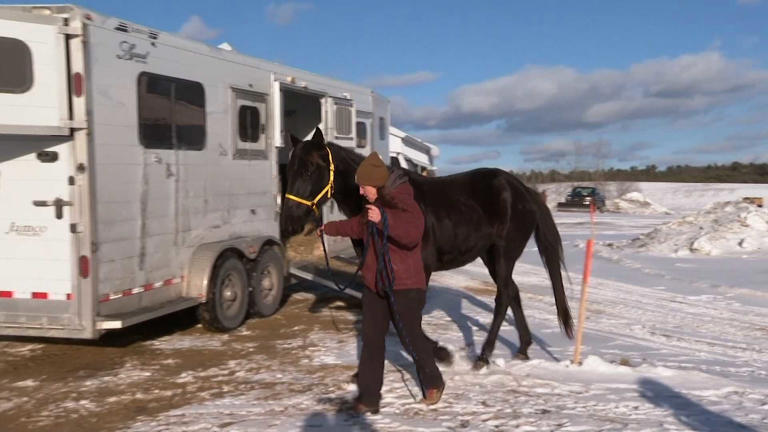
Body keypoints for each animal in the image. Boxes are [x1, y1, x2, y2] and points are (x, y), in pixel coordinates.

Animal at [280, 128, 573, 369]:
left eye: (309, 170)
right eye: (288, 171)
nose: (289, 222)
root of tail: (523, 190)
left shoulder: (420, 268)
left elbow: (408, 316)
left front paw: (441, 353)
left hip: (503, 254)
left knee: (503, 297)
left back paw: (483, 356)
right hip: (490, 256)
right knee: (513, 292)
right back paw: (522, 348)